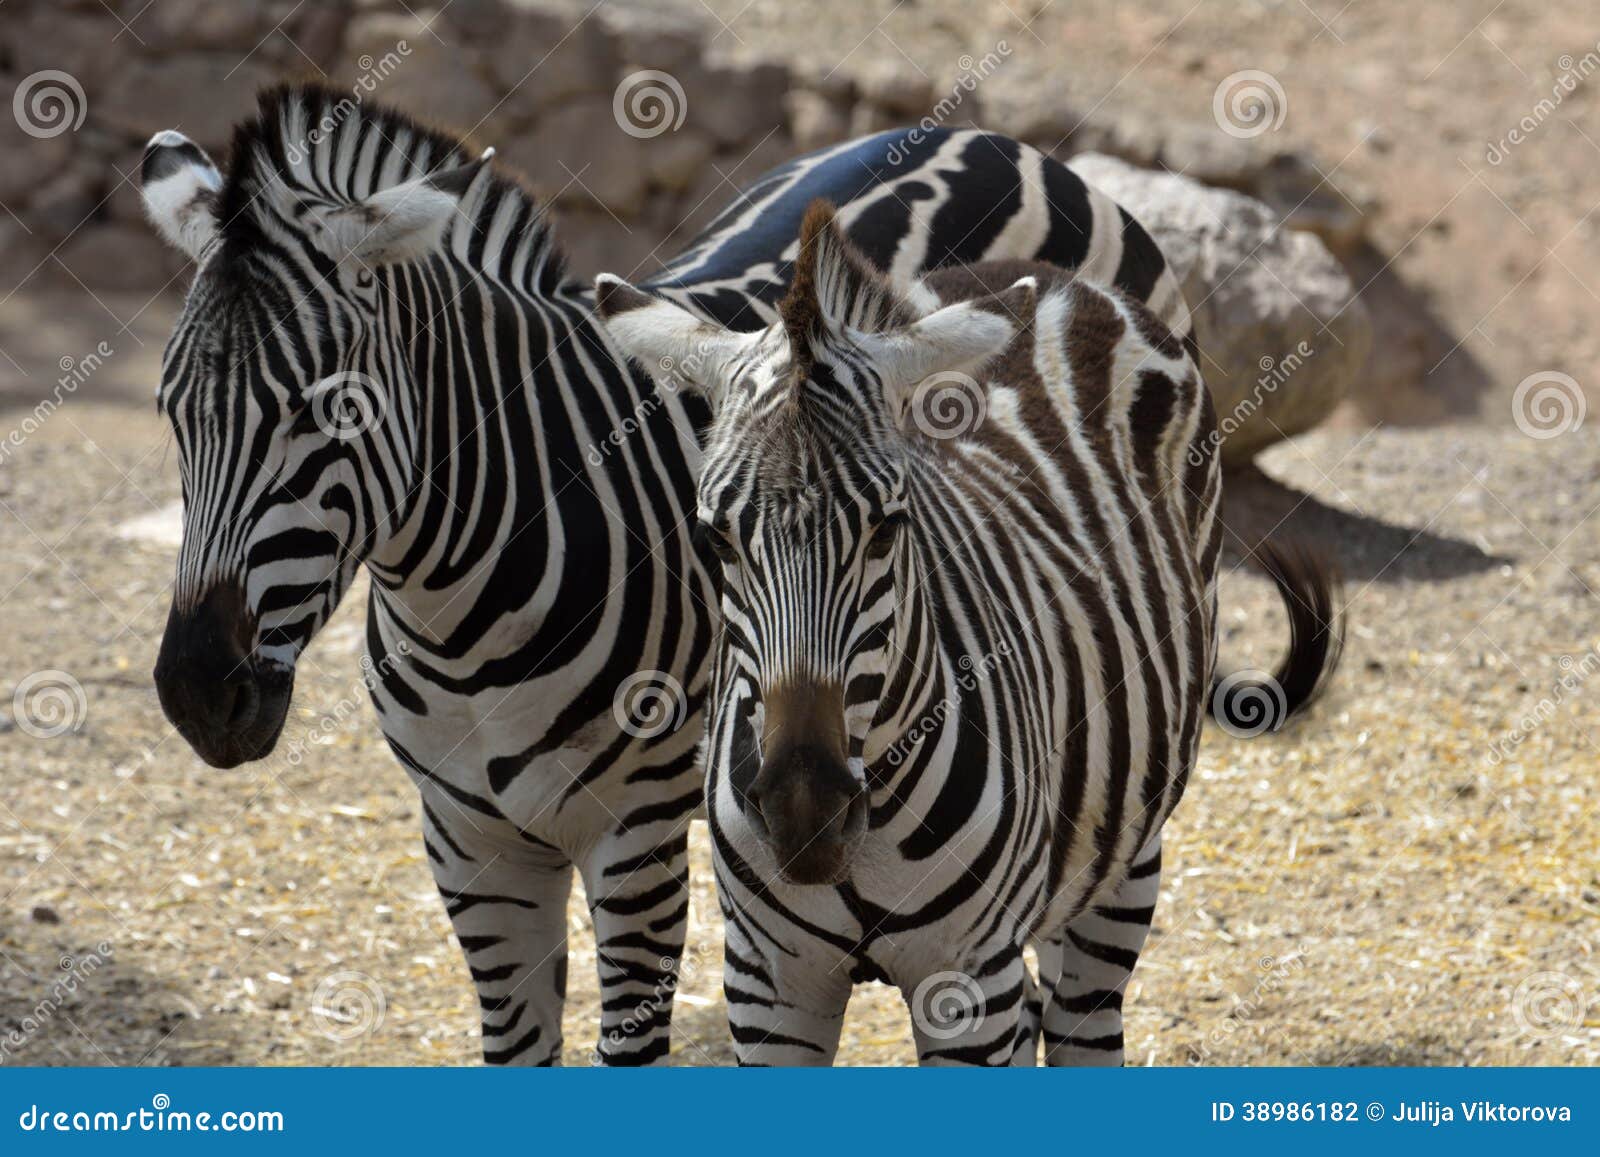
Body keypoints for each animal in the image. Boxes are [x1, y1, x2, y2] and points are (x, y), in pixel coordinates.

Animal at [140, 82, 1194, 1065]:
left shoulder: (636, 828)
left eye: (329, 412)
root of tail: (997, 139)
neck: (460, 608)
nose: (198, 690)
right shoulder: (466, 835)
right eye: (171, 413)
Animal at [594, 201, 1342, 1065]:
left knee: (1086, 1024)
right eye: (716, 538)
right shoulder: (766, 982)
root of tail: (1049, 278)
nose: (803, 812)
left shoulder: (971, 984)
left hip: (1125, 859)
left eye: (889, 526)